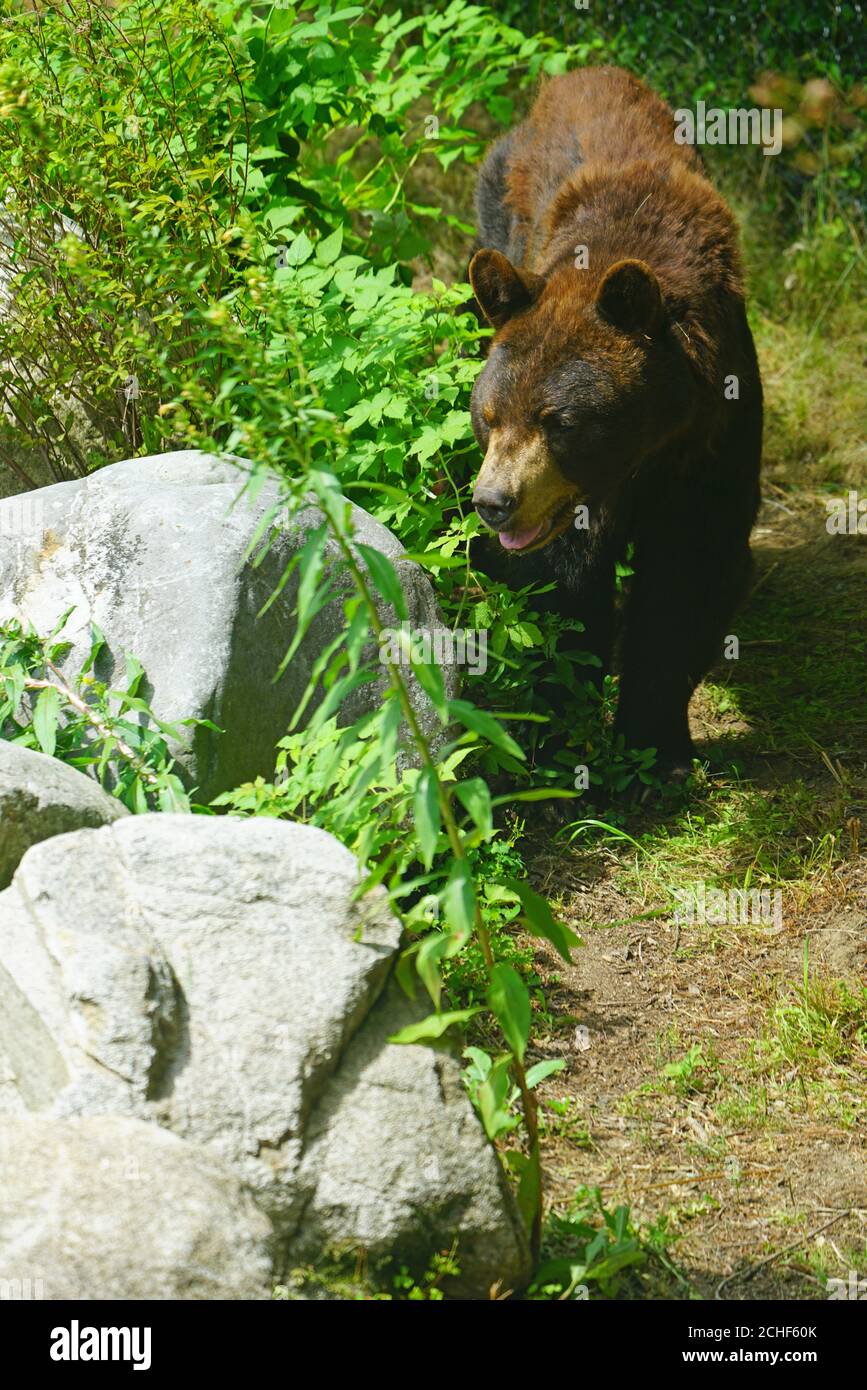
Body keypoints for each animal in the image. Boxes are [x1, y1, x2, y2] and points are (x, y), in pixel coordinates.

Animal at [467, 65, 762, 779]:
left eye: (560, 420)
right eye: (488, 416)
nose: (493, 502)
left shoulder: (716, 434)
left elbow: (691, 565)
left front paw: (656, 751)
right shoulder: (573, 497)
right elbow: (563, 582)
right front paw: (555, 734)